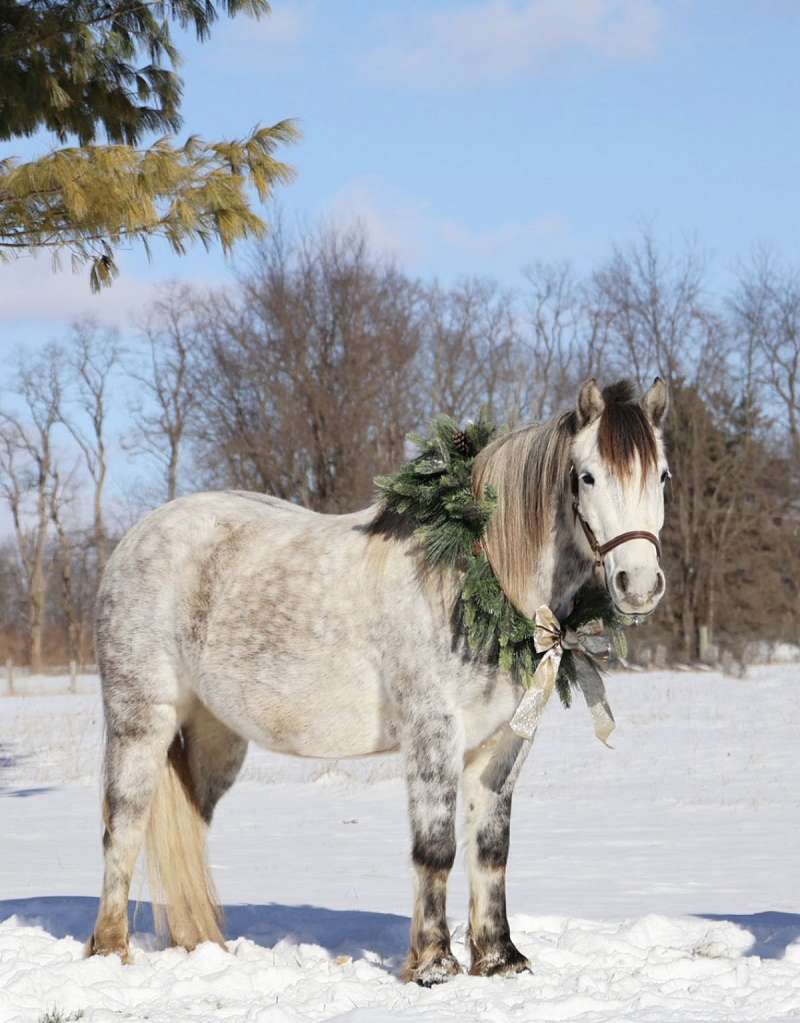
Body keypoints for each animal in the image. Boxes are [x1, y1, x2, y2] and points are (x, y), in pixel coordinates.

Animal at [88, 376, 669, 985]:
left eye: (662, 475)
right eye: (587, 475)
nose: (638, 585)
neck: (476, 575)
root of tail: (136, 539)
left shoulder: (503, 743)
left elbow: (491, 849)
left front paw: (500, 959)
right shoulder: (434, 733)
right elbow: (435, 849)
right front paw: (435, 964)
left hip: (215, 737)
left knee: (190, 828)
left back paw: (201, 947)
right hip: (140, 721)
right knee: (123, 827)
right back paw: (111, 949)